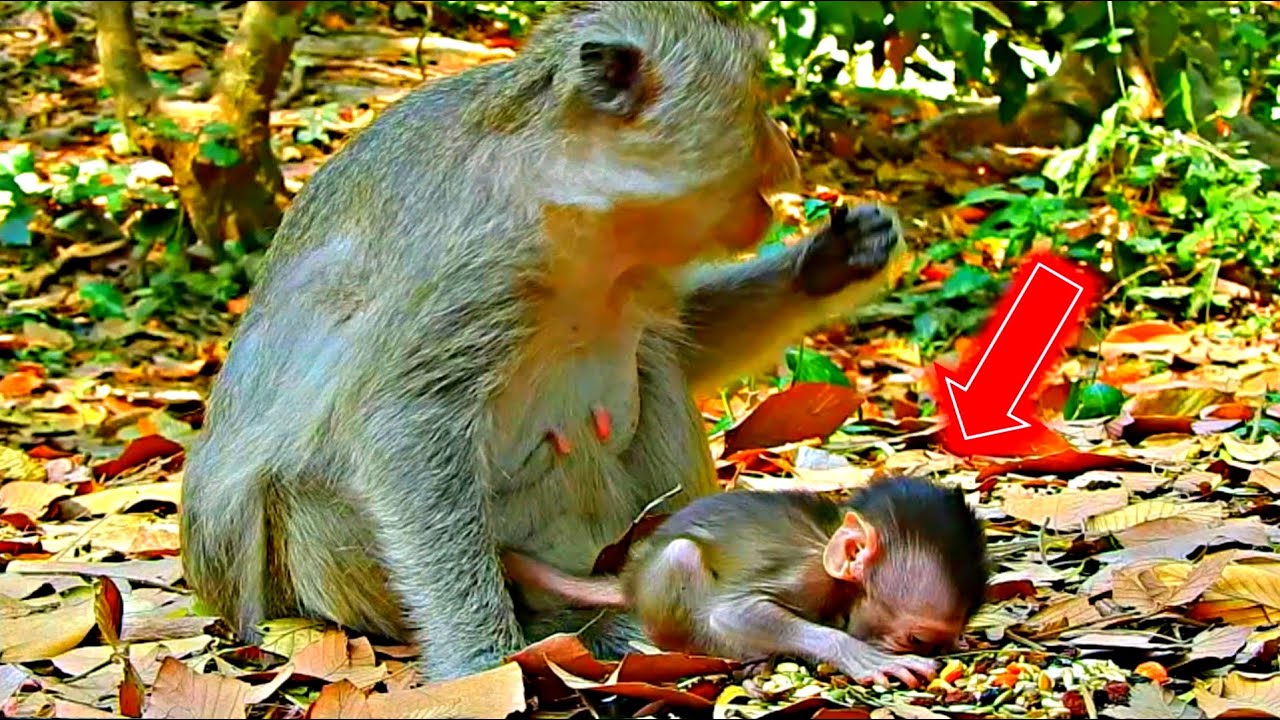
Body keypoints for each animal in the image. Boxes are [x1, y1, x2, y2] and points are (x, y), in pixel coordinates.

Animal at [180, 1, 909, 682]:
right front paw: (480, 661)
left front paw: (832, 260)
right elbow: (403, 423)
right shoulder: (478, 263)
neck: (578, 206)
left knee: (653, 366)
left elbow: (687, 342)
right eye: (757, 99)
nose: (786, 143)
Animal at [501, 476, 988, 688]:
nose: (938, 650)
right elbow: (733, 613)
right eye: (917, 640)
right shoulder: (807, 577)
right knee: (683, 559)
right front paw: (858, 654)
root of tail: (630, 579)